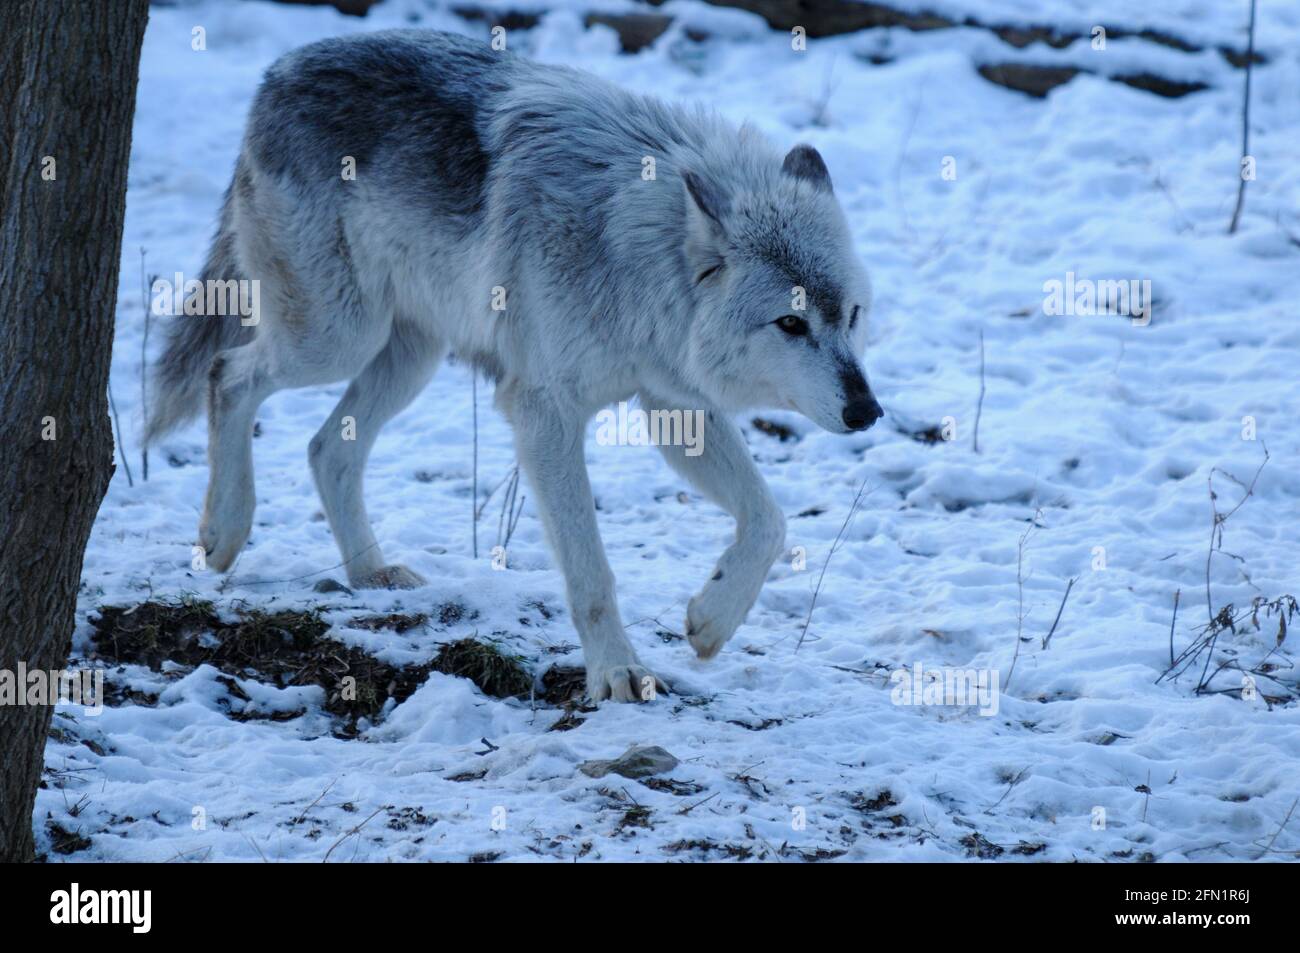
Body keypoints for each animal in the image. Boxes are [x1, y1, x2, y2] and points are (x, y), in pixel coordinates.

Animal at [147, 30, 883, 703]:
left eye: (849, 315)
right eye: (790, 323)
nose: (867, 410)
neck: (634, 248)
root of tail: (280, 69)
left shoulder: (675, 406)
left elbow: (768, 520)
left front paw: (710, 621)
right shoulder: (544, 412)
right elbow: (591, 570)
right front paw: (618, 673)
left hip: (408, 357)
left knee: (326, 447)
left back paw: (371, 575)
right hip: (337, 337)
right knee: (228, 373)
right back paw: (224, 531)